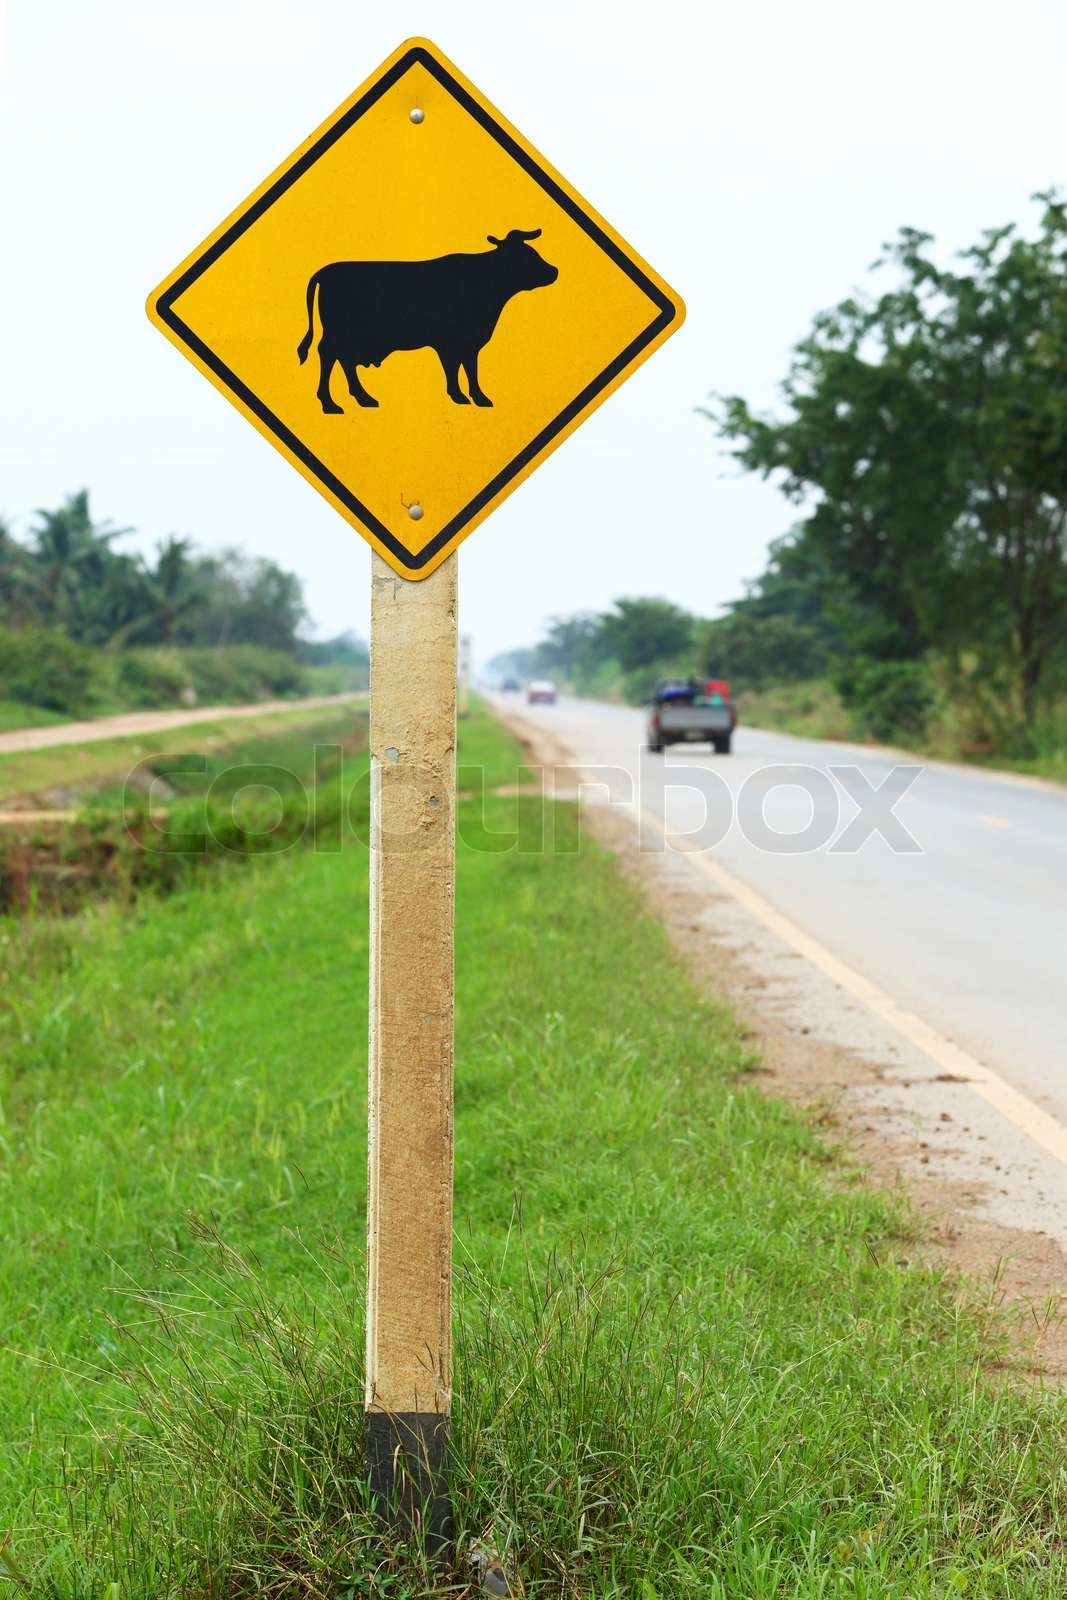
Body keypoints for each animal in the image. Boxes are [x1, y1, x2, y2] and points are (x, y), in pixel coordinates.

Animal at [296, 228, 558, 411]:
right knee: (329, 354)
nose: (554, 271)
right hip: (338, 332)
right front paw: (462, 396)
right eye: (525, 256)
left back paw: (364, 398)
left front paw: (476, 397)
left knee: (344, 360)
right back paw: (329, 404)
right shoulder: (450, 341)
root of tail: (326, 271)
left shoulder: (469, 341)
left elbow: (468, 368)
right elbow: (454, 367)